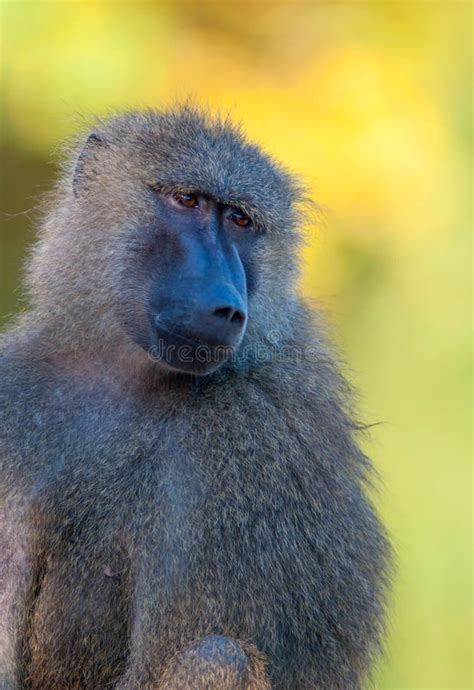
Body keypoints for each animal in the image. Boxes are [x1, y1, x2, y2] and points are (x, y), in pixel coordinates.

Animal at [0, 105, 391, 690]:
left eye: (241, 220)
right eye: (188, 200)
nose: (225, 305)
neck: (127, 376)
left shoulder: (245, 448)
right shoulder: (17, 403)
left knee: (217, 653)